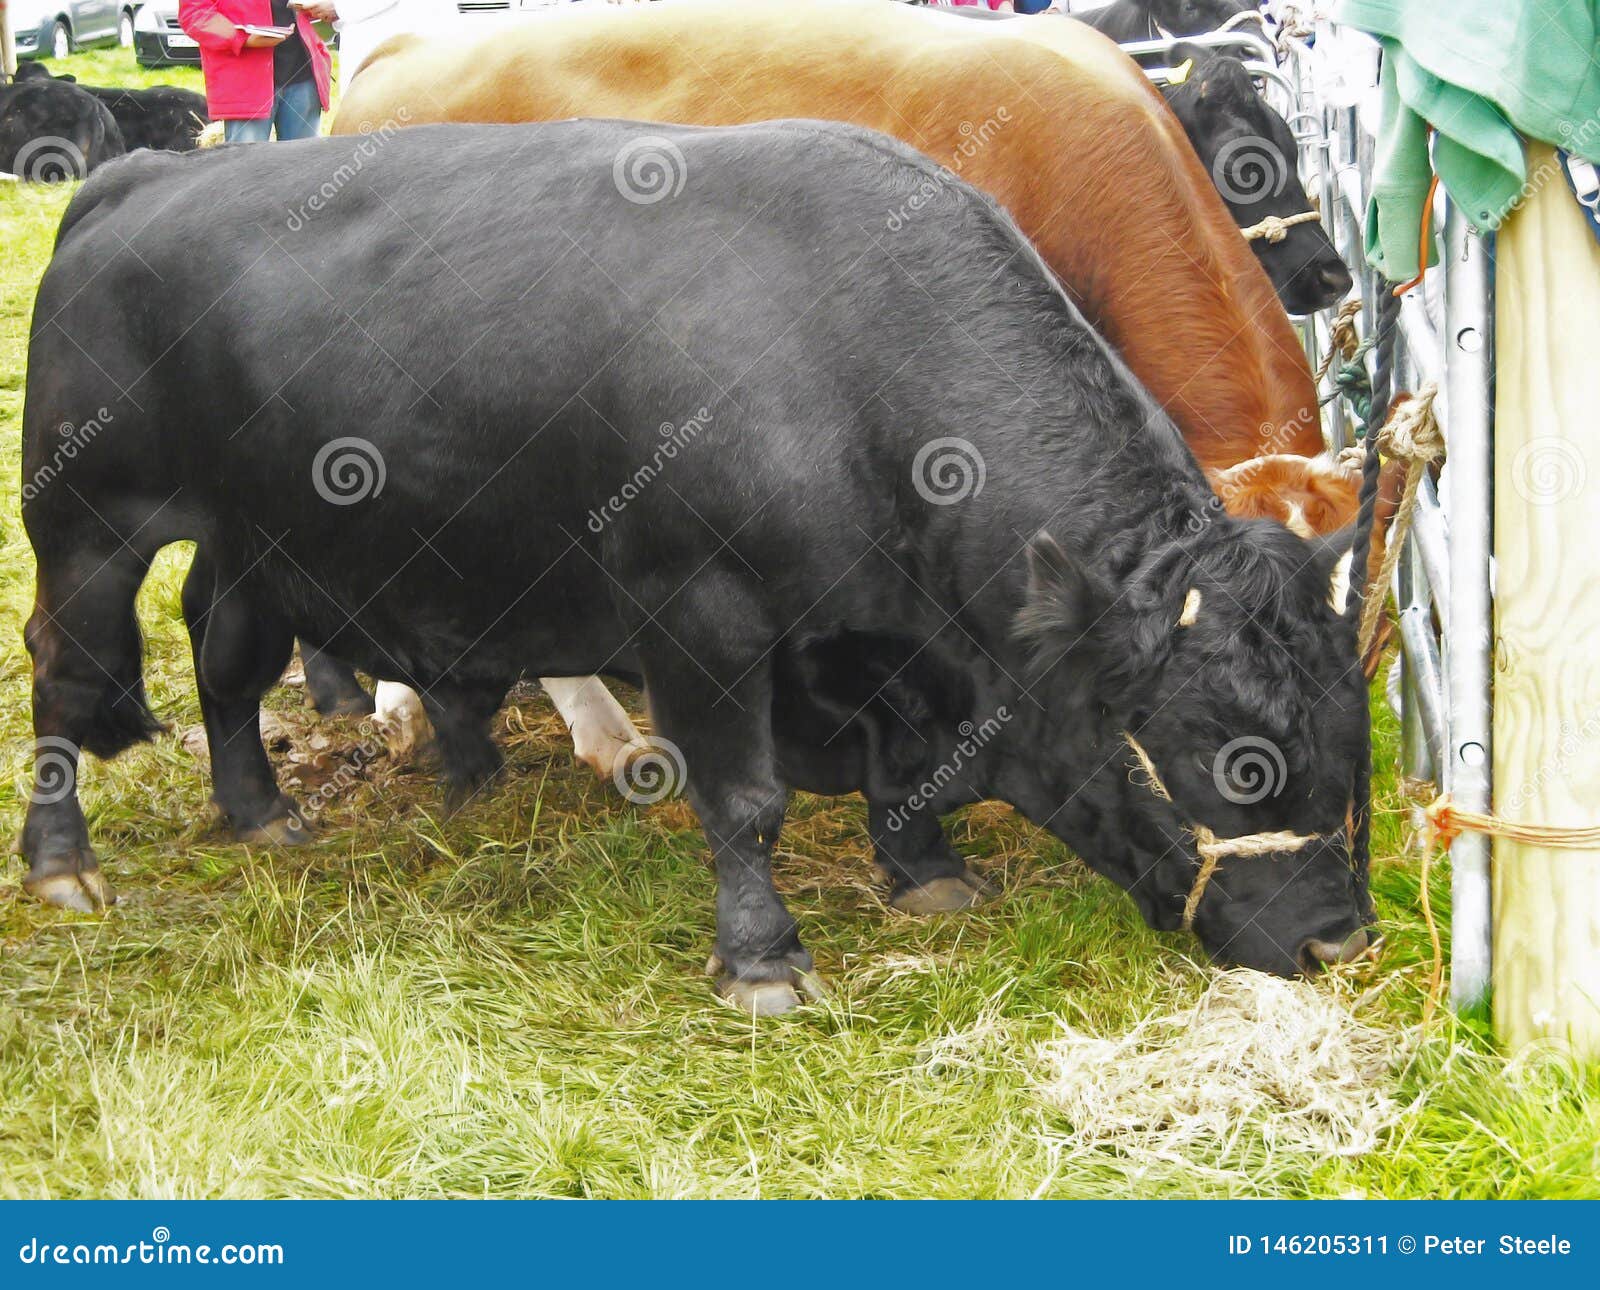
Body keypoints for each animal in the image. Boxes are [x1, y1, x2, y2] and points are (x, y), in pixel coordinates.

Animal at [19, 120, 1373, 1012]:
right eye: (1232, 762)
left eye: (1351, 735)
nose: (1340, 944)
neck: (847, 365)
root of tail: (139, 177)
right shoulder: (704, 617)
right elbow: (745, 798)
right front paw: (763, 957)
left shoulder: (878, 641)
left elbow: (910, 769)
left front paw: (924, 870)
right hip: (88, 524)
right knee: (62, 669)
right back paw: (63, 863)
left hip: (256, 539)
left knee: (225, 656)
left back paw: (258, 811)